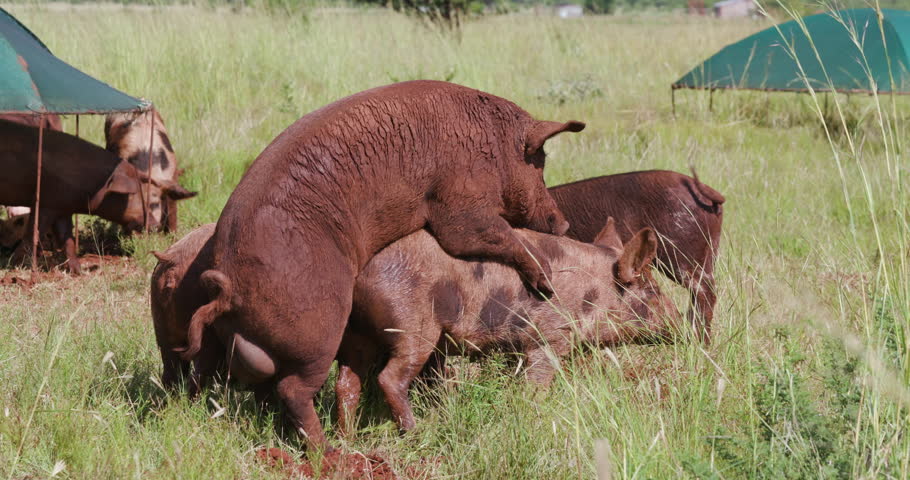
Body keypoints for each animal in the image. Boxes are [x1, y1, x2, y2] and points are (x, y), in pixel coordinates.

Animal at [0, 119, 191, 273]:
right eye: (135, 194)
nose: (154, 225)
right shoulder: (46, 201)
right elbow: (33, 232)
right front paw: (16, 266)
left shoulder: (61, 207)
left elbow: (67, 238)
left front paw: (80, 272)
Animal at [180, 80, 584, 447]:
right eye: (539, 164)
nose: (563, 223)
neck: (495, 146)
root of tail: (230, 288)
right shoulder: (460, 201)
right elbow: (482, 233)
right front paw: (546, 283)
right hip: (317, 330)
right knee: (295, 388)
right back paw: (329, 451)